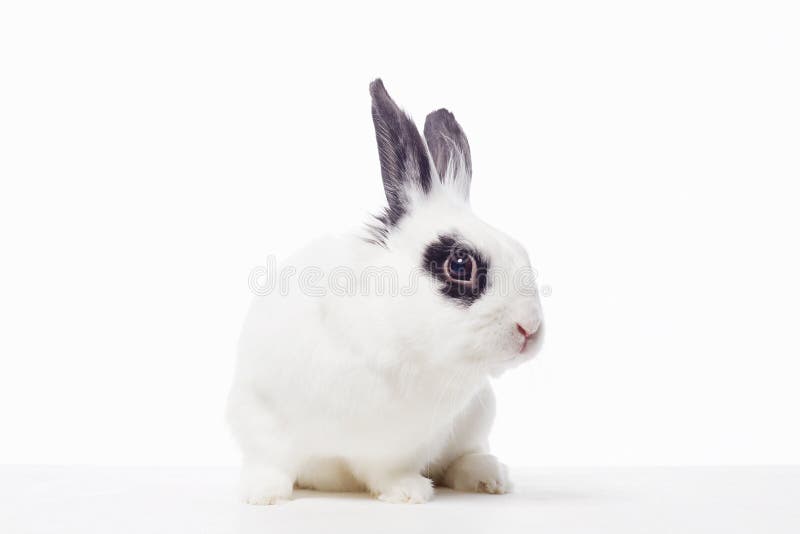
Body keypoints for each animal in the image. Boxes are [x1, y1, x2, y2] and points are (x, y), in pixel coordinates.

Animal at [227, 79, 544, 505]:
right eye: (460, 265)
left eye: (522, 251)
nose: (531, 328)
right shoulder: (261, 410)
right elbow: (270, 459)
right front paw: (262, 494)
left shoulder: (398, 444)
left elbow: (389, 471)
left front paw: (408, 492)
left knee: (462, 457)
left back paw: (489, 477)